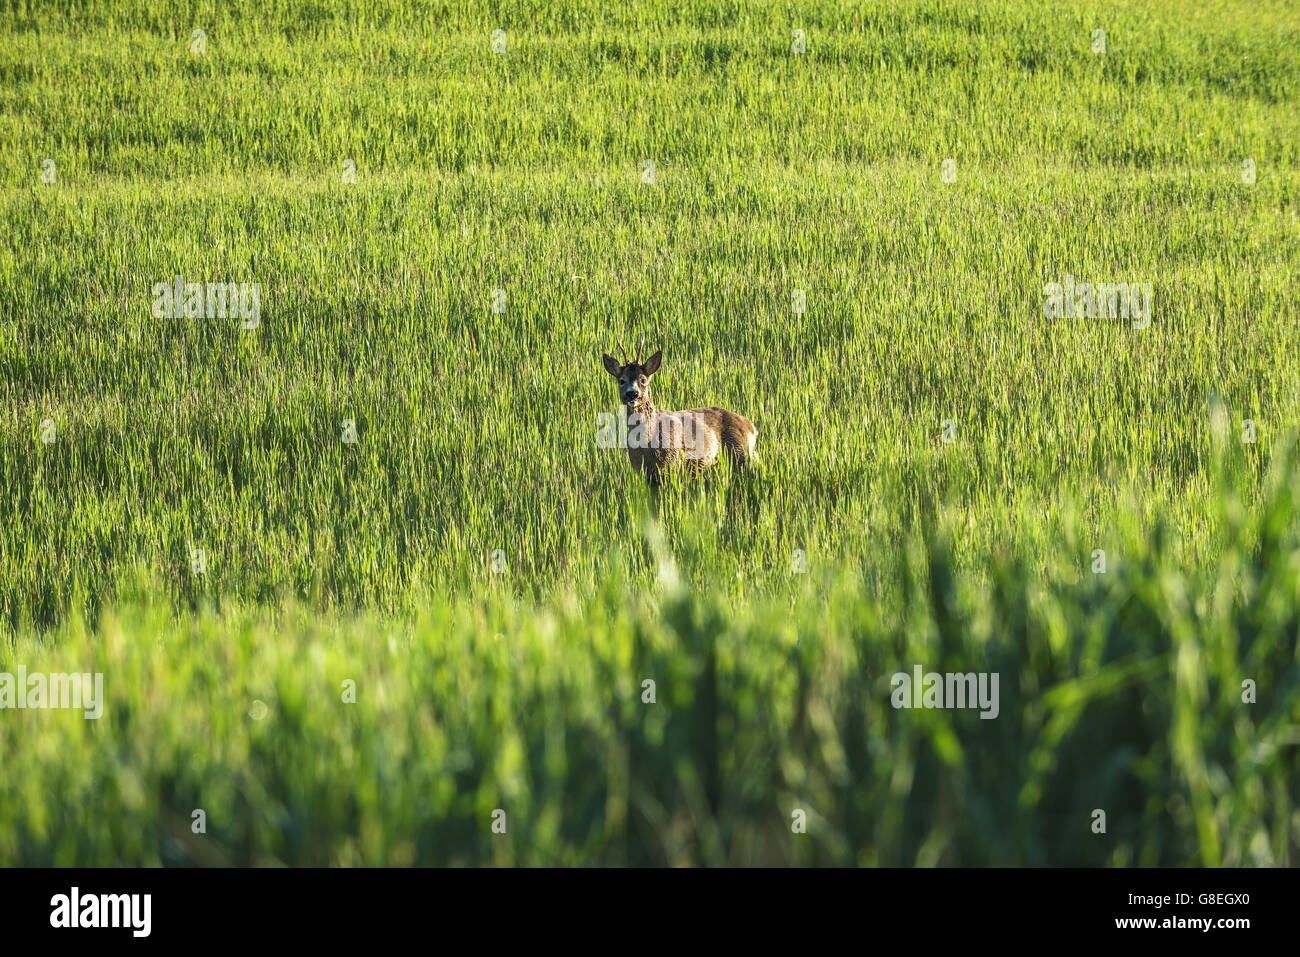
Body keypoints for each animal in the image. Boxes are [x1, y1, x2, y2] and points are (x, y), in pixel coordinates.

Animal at [601, 341, 758, 485]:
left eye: (643, 380)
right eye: (621, 380)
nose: (632, 394)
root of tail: (750, 426)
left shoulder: (672, 462)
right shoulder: (644, 473)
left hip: (740, 452)